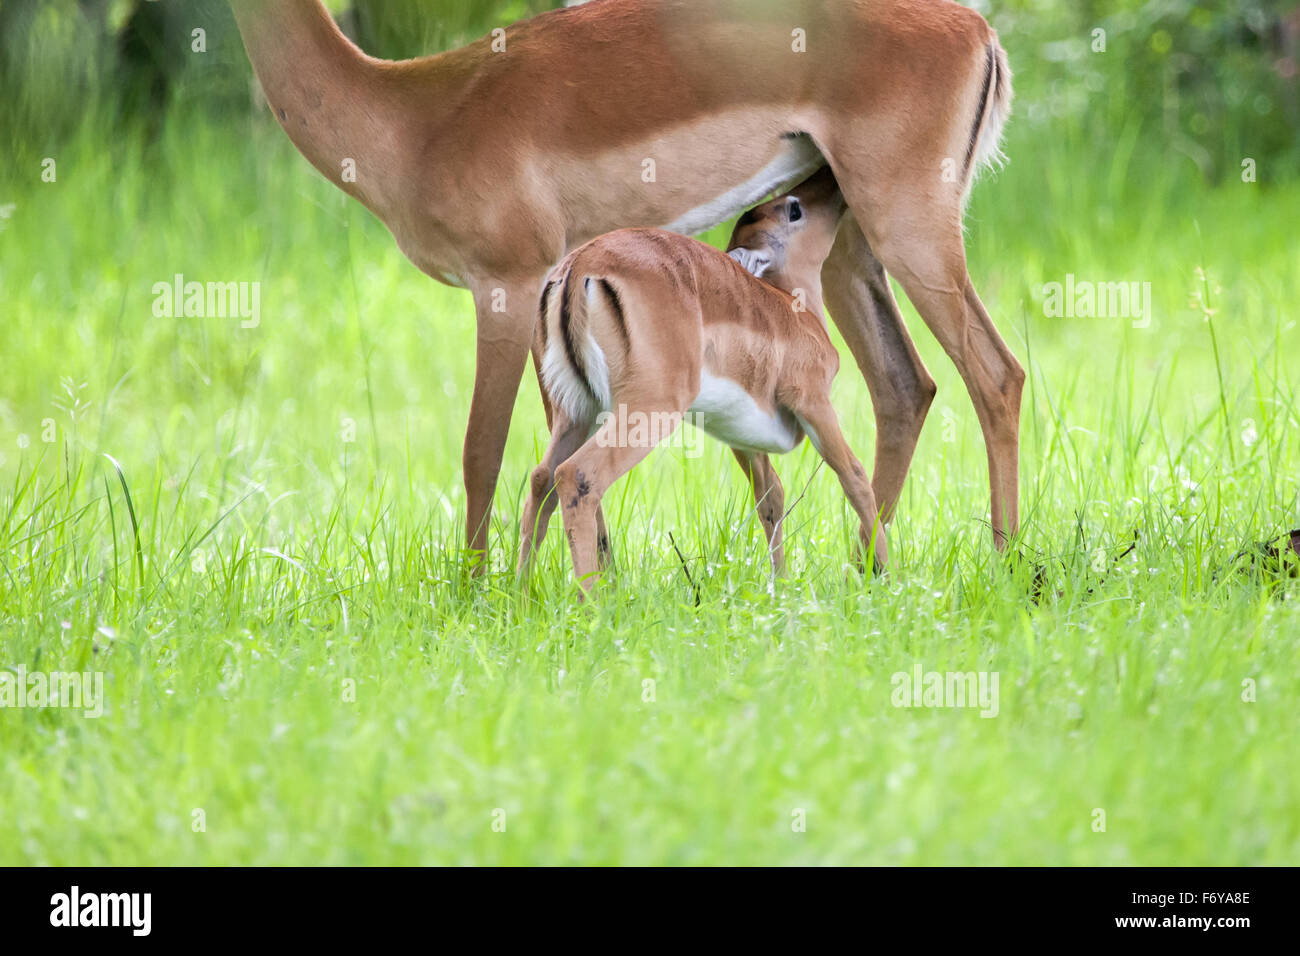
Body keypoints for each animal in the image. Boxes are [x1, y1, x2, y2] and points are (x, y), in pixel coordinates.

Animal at [518, 168, 884, 591]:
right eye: (793, 209)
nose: (831, 178)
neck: (795, 310)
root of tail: (580, 264)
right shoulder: (814, 402)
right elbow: (856, 479)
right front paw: (885, 575)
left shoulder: (743, 437)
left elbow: (771, 498)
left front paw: (780, 586)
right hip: (647, 413)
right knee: (576, 475)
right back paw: (590, 599)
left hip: (577, 414)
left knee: (540, 480)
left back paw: (522, 592)